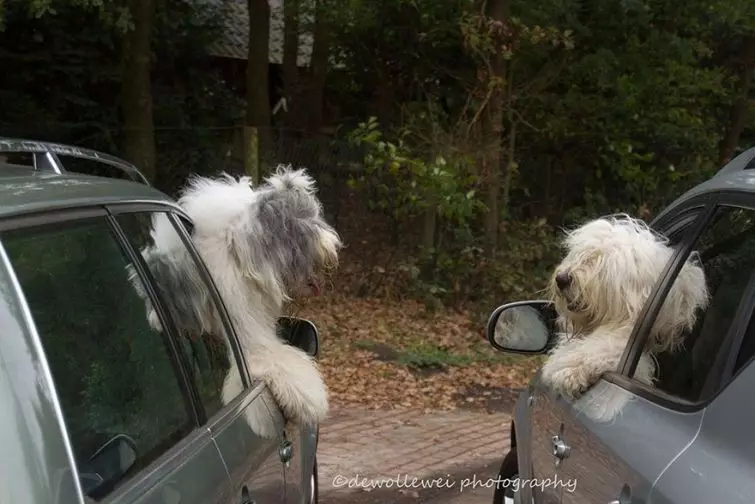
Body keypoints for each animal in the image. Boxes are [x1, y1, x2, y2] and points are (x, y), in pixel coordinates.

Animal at [132, 167, 340, 428]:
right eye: (303, 219)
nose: (333, 246)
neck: (238, 250)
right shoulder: (241, 314)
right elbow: (265, 354)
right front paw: (306, 396)